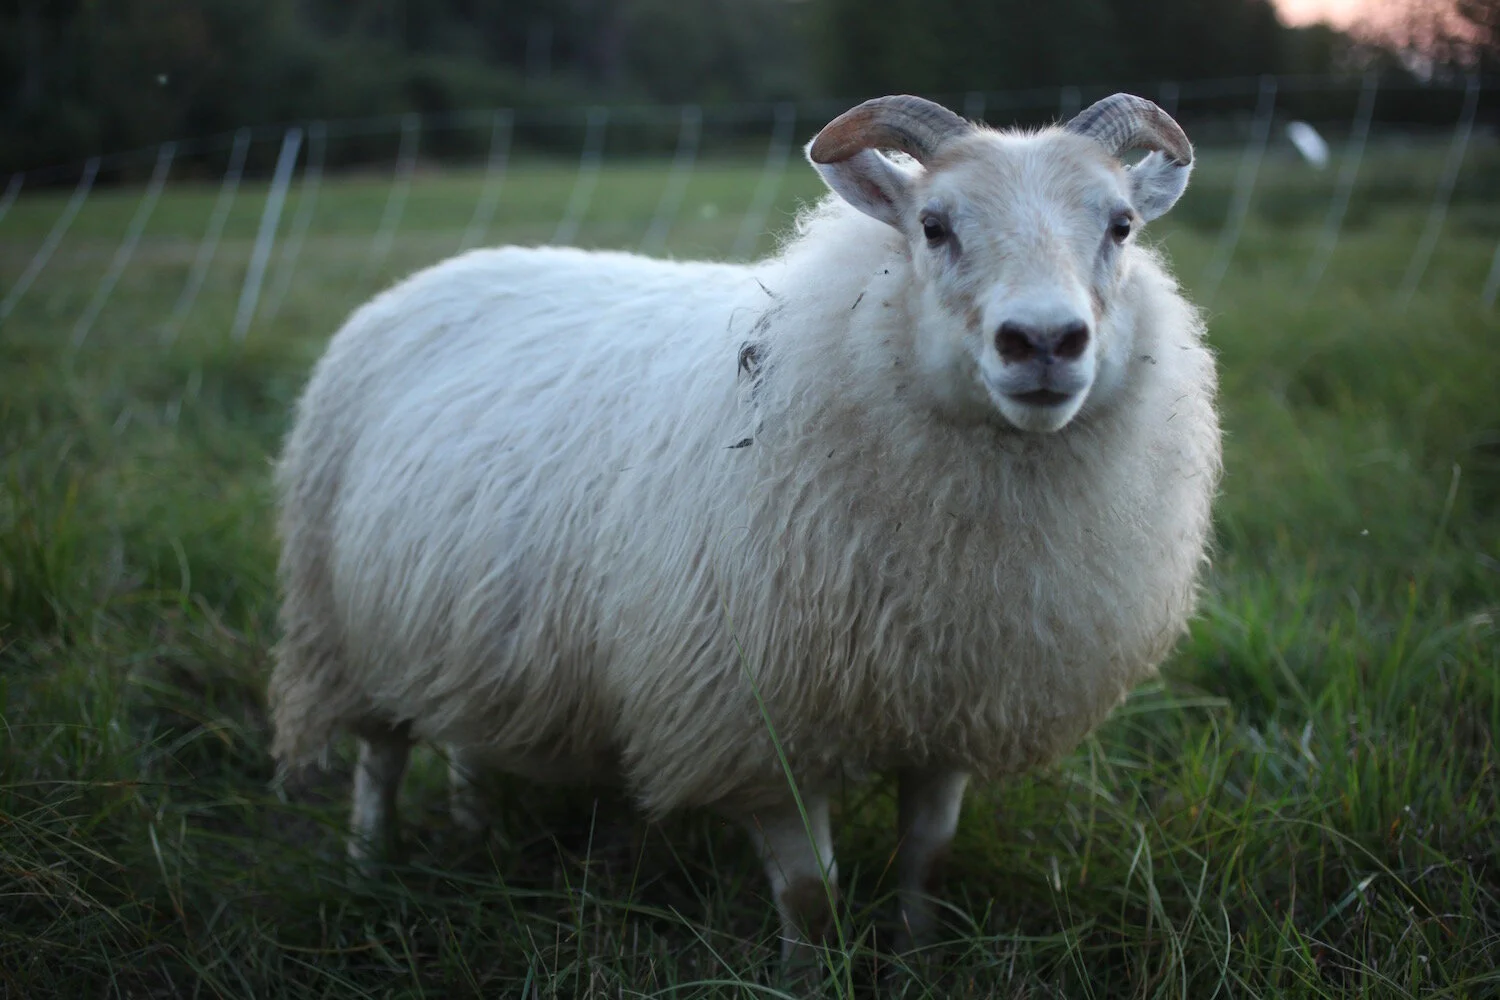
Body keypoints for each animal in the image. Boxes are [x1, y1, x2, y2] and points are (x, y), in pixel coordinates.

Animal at [267, 92, 1222, 959]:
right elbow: (809, 897)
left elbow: (927, 859)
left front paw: (916, 955)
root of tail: (433, 274)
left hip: (463, 619)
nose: (1045, 342)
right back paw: (367, 869)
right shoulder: (754, 730)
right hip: (339, 621)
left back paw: (472, 830)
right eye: (934, 225)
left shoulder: (955, 701)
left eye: (1122, 225)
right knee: (380, 759)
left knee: (464, 727)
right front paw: (813, 974)